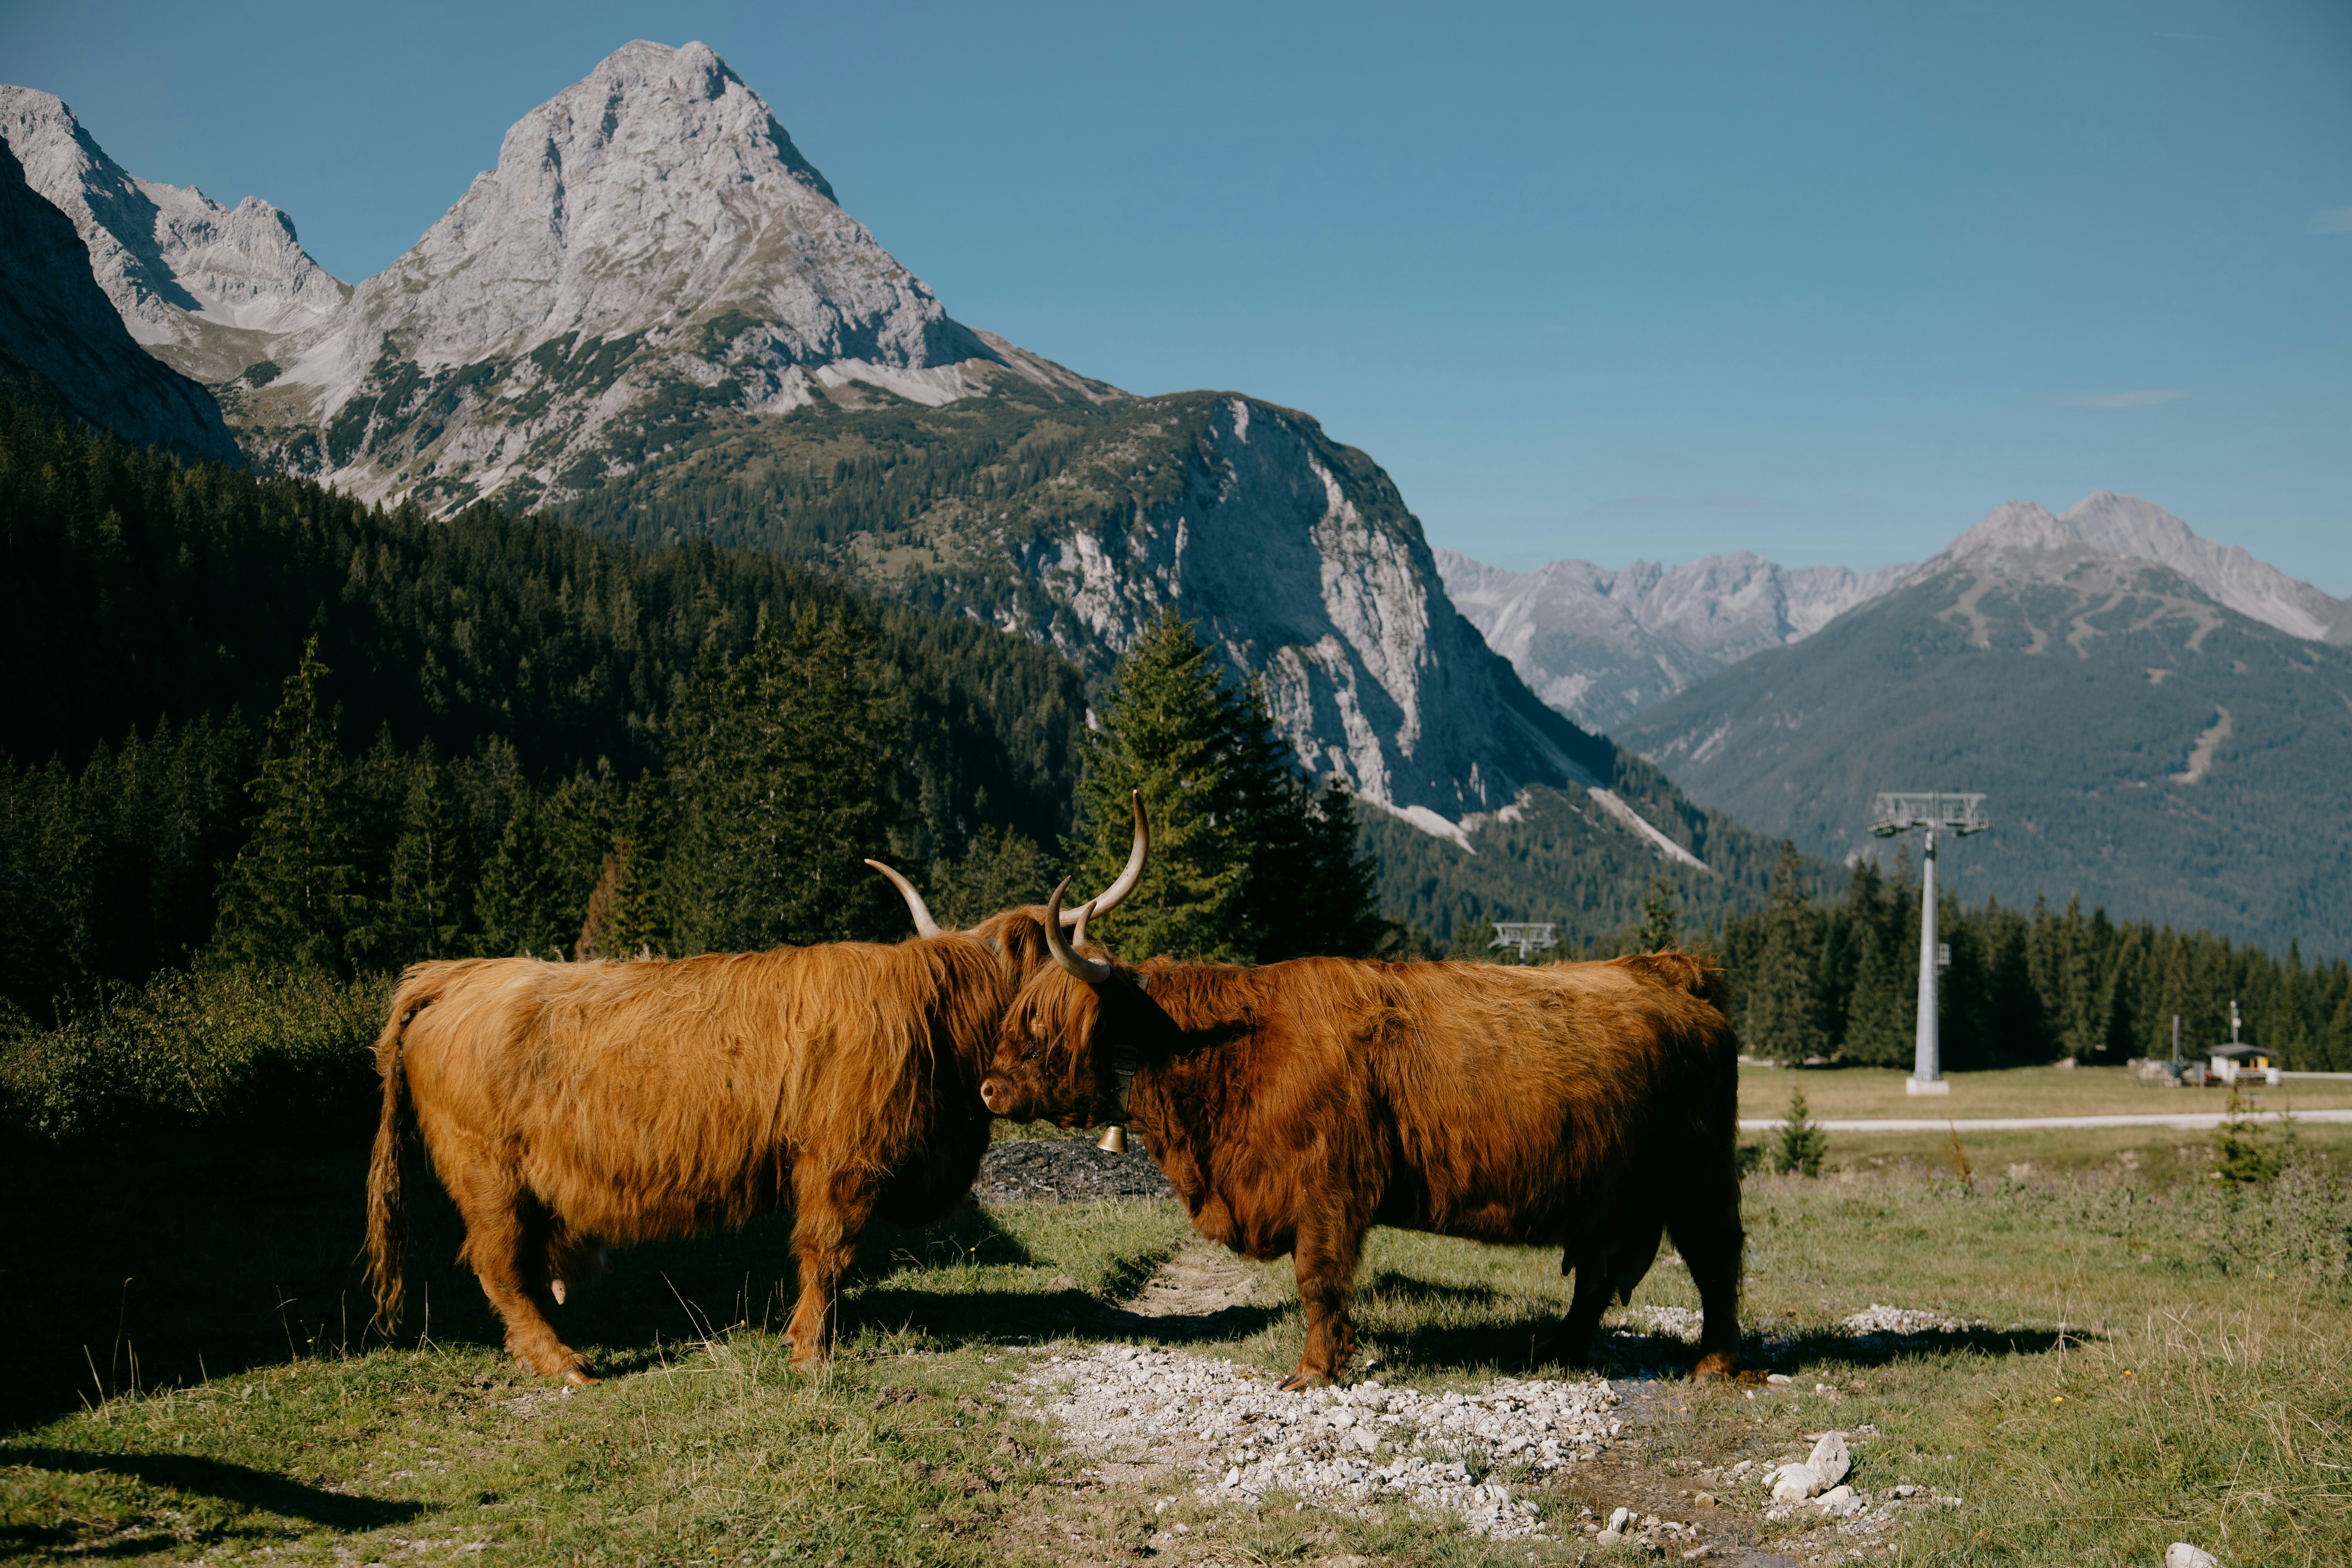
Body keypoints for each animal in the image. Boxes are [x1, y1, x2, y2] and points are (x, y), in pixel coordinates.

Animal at [364, 800, 1147, 1384]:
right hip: (487, 1174)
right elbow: (829, 1254)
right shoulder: (843, 1162)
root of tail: (453, 975)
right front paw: (809, 1352)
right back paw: (564, 1364)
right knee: (498, 1266)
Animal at [977, 883, 1745, 1389]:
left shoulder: (1329, 1189)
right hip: (1605, 1192)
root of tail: (1672, 972)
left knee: (1717, 1264)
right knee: (1595, 1276)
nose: (988, 1087)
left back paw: (1713, 1364)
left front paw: (1314, 1372)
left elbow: (1319, 1282)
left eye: (1038, 1025)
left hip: (1701, 1178)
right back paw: (1559, 1352)